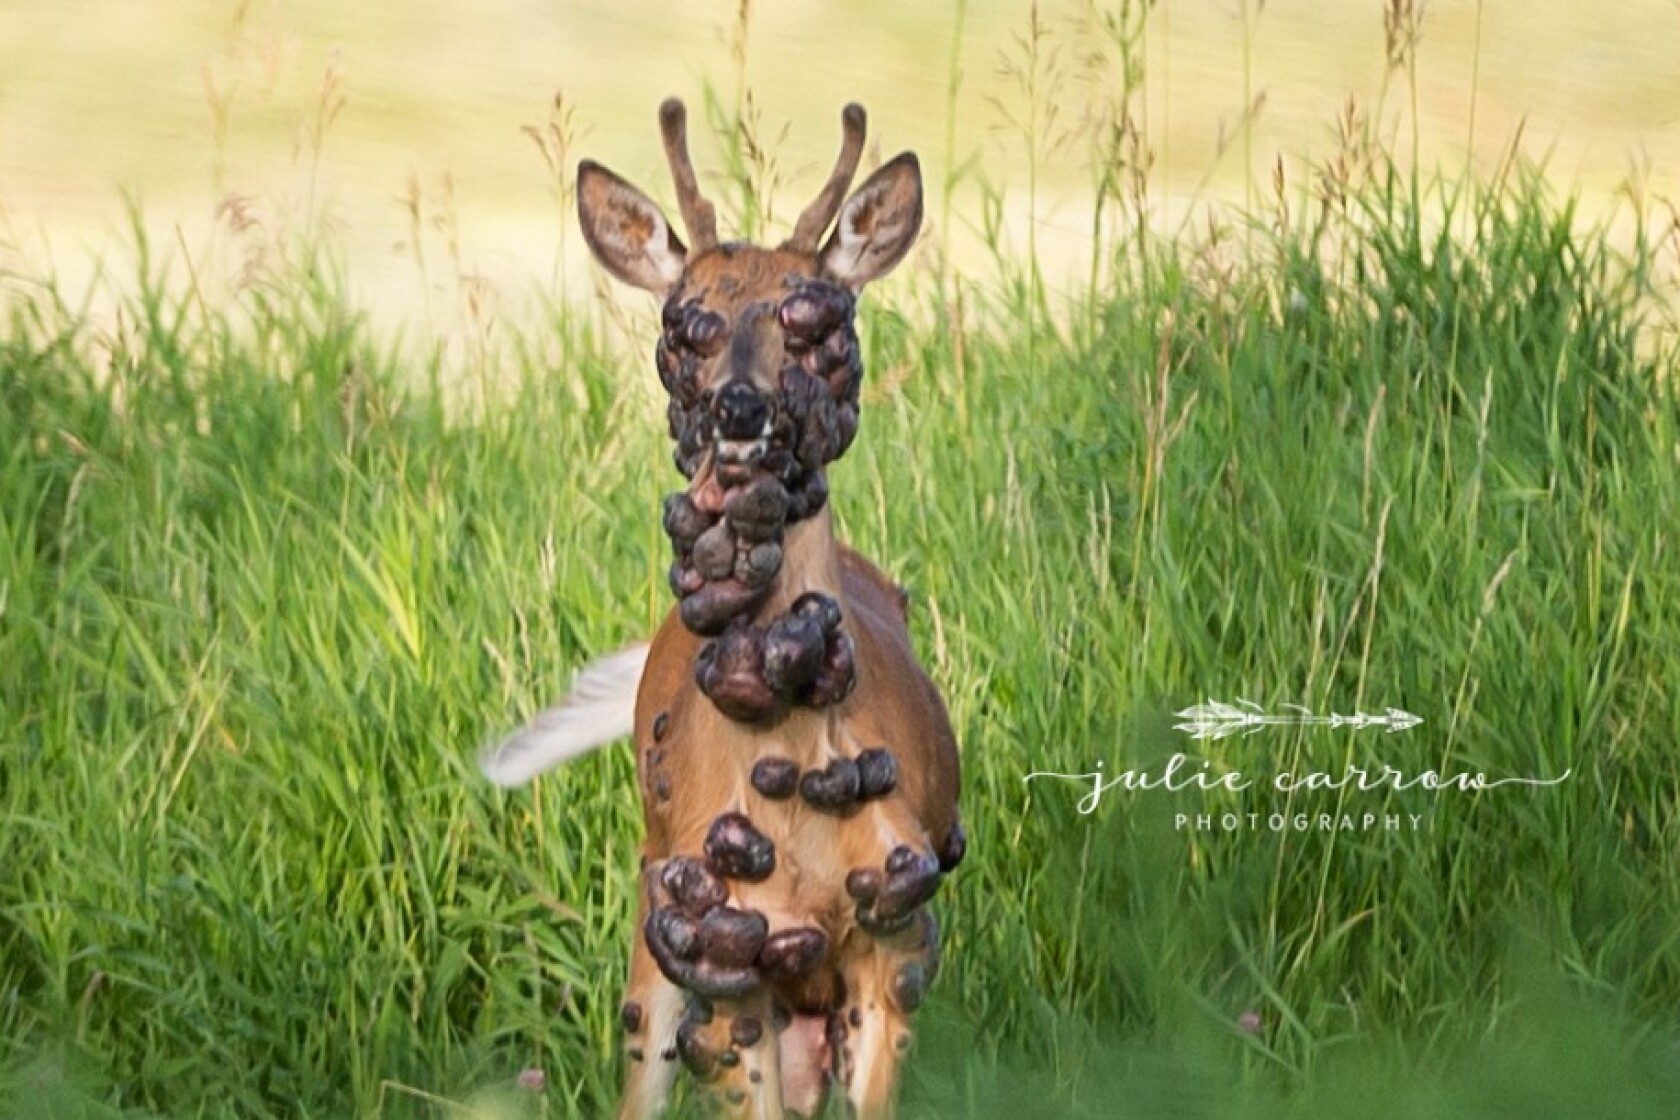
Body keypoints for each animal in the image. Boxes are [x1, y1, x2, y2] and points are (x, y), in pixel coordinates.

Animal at [481, 98, 963, 1120]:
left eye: (823, 317)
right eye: (680, 320)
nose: (742, 408)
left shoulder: (897, 937)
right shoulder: (733, 957)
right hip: (658, 909)